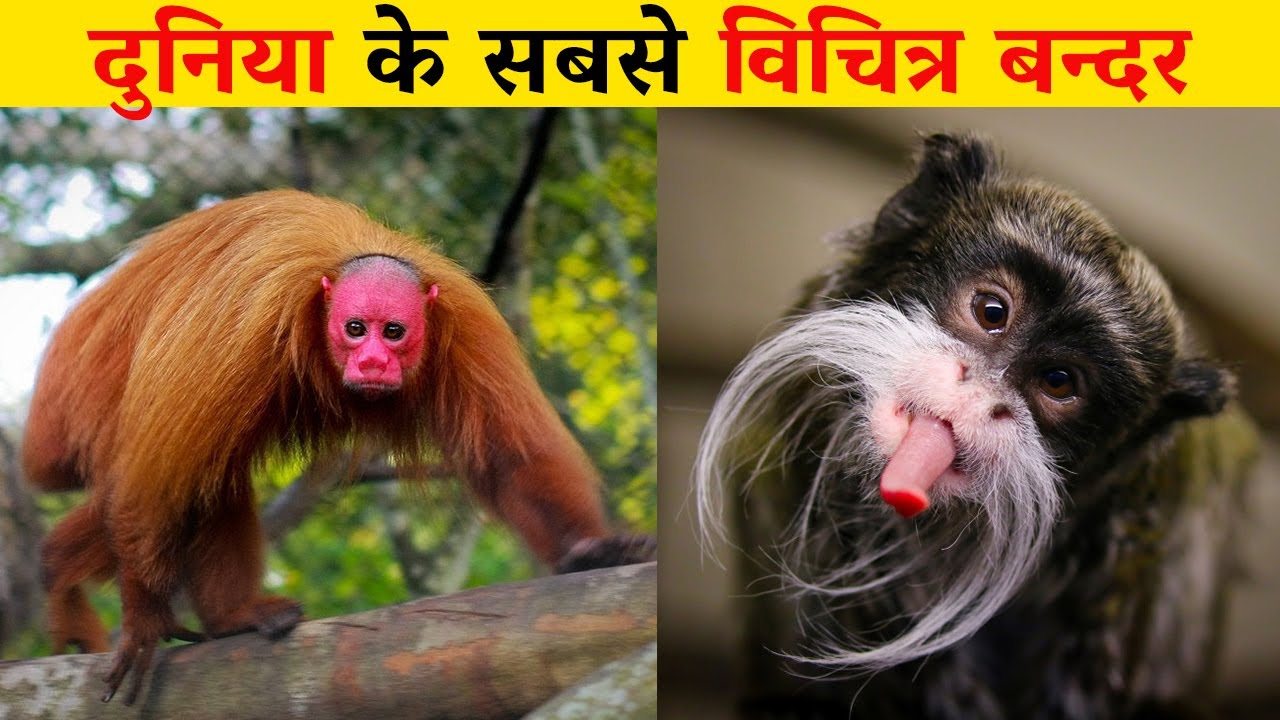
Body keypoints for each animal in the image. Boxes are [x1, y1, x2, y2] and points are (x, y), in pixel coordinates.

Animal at [21, 189, 654, 705]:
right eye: (356, 329)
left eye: (392, 332)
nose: (372, 360)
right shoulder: (238, 329)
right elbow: (154, 479)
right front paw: (146, 619)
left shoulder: (465, 327)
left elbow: (511, 459)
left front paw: (587, 551)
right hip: (89, 405)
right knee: (169, 472)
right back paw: (61, 569)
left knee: (213, 474)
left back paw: (223, 617)